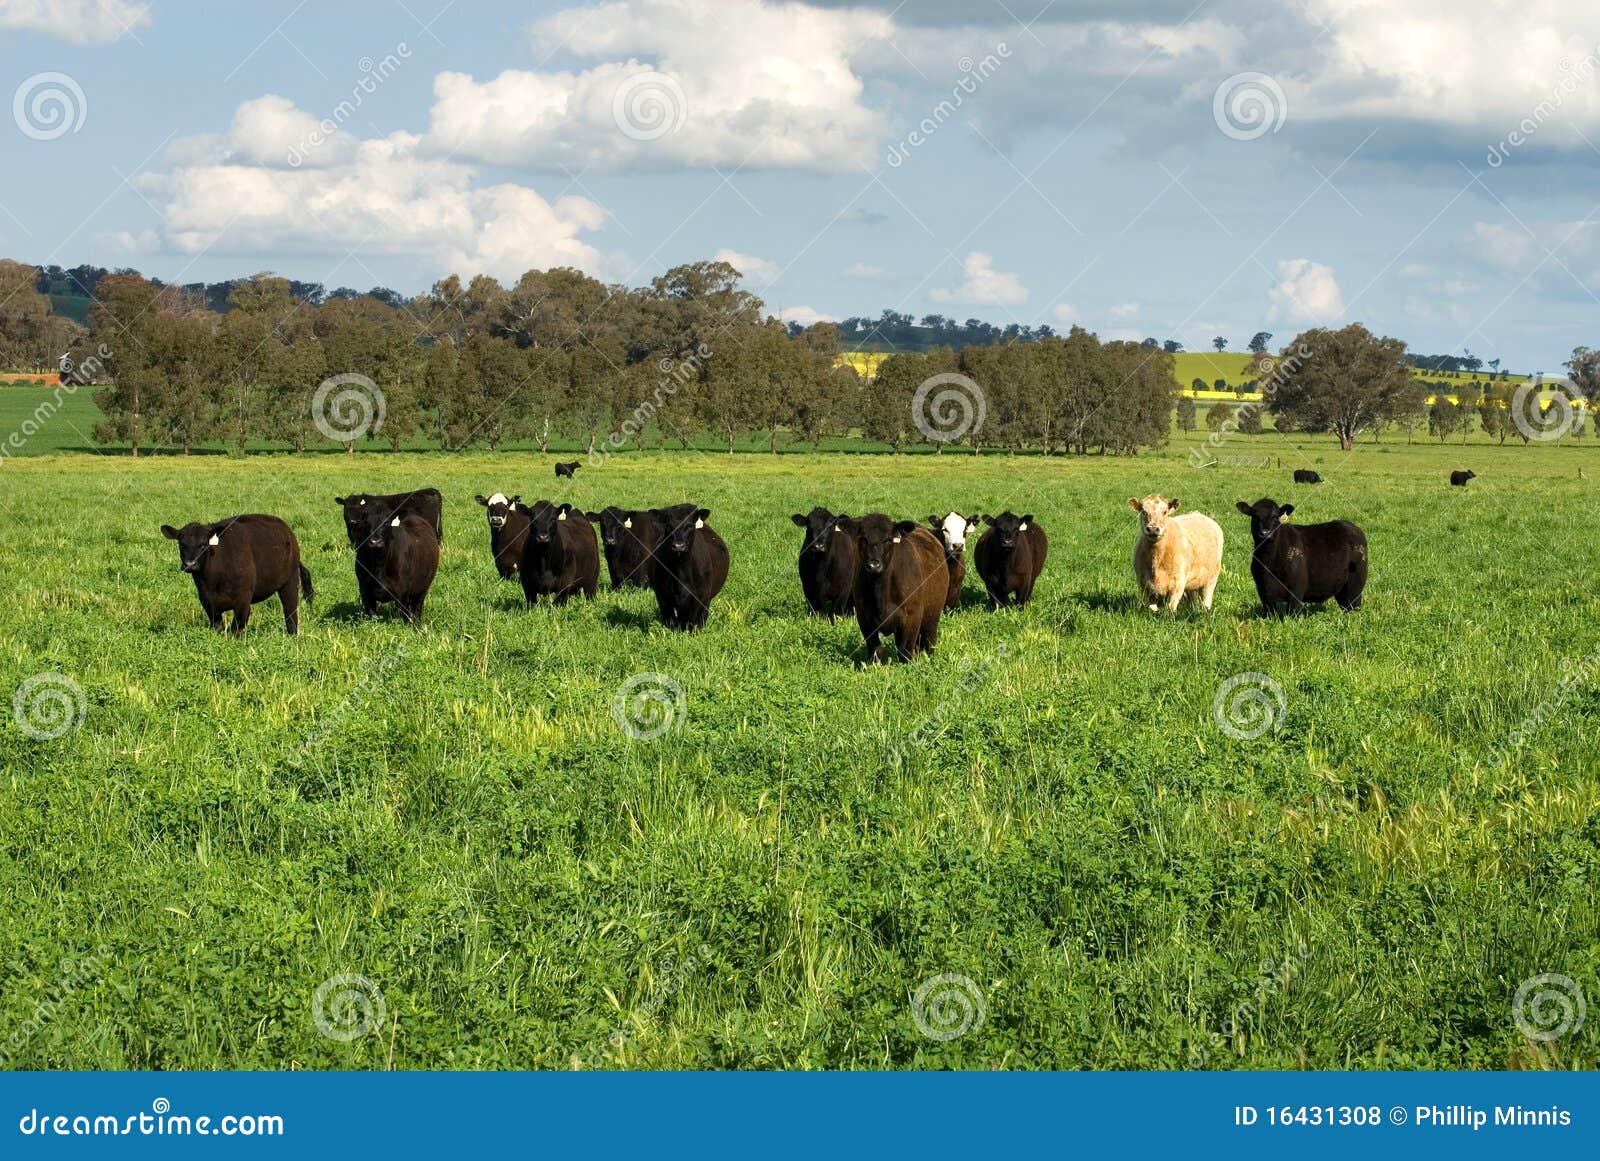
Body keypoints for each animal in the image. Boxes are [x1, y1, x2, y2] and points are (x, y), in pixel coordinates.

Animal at [160, 514, 312, 634]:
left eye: (203, 545)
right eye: (182, 544)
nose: (190, 564)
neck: (213, 581)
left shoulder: (243, 599)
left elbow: (236, 629)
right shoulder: (207, 601)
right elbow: (218, 627)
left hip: (290, 581)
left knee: (290, 613)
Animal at [837, 514, 947, 662]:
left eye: (888, 539)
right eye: (863, 538)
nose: (874, 565)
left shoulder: (912, 616)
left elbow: (905, 651)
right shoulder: (864, 618)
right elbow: (875, 649)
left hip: (932, 617)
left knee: (929, 641)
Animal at [1235, 497, 1368, 617]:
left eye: (1275, 517)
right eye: (1255, 516)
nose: (1265, 533)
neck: (1269, 562)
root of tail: (1350, 526)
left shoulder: (1296, 588)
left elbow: (1291, 614)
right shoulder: (1262, 589)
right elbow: (1270, 613)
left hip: (1356, 582)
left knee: (1354, 604)